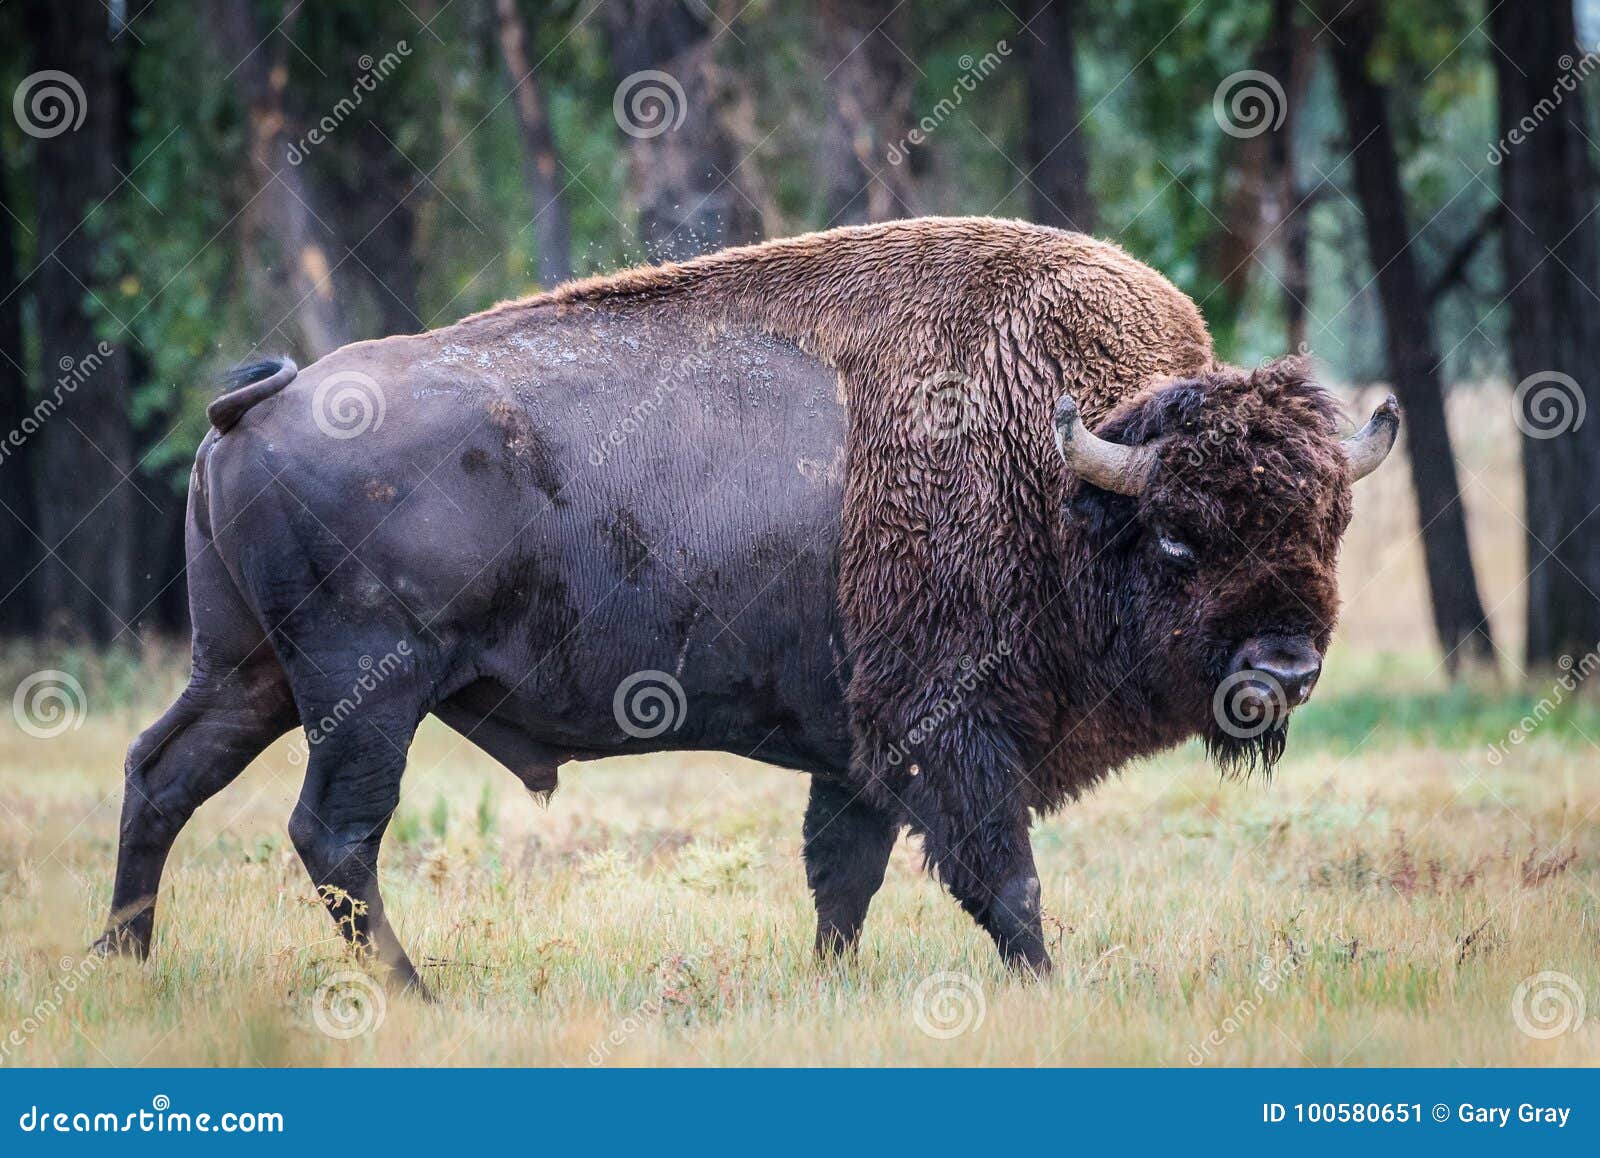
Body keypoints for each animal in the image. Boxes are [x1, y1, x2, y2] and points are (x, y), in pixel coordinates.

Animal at [95, 217, 1397, 989]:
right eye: (1180, 536)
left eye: (1326, 524)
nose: (1284, 670)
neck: (1060, 473)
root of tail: (263, 401)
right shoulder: (949, 734)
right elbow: (1001, 873)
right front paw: (1043, 985)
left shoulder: (861, 749)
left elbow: (843, 876)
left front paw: (831, 986)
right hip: (368, 692)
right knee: (334, 833)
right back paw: (411, 997)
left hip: (249, 672)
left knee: (164, 776)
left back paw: (126, 963)